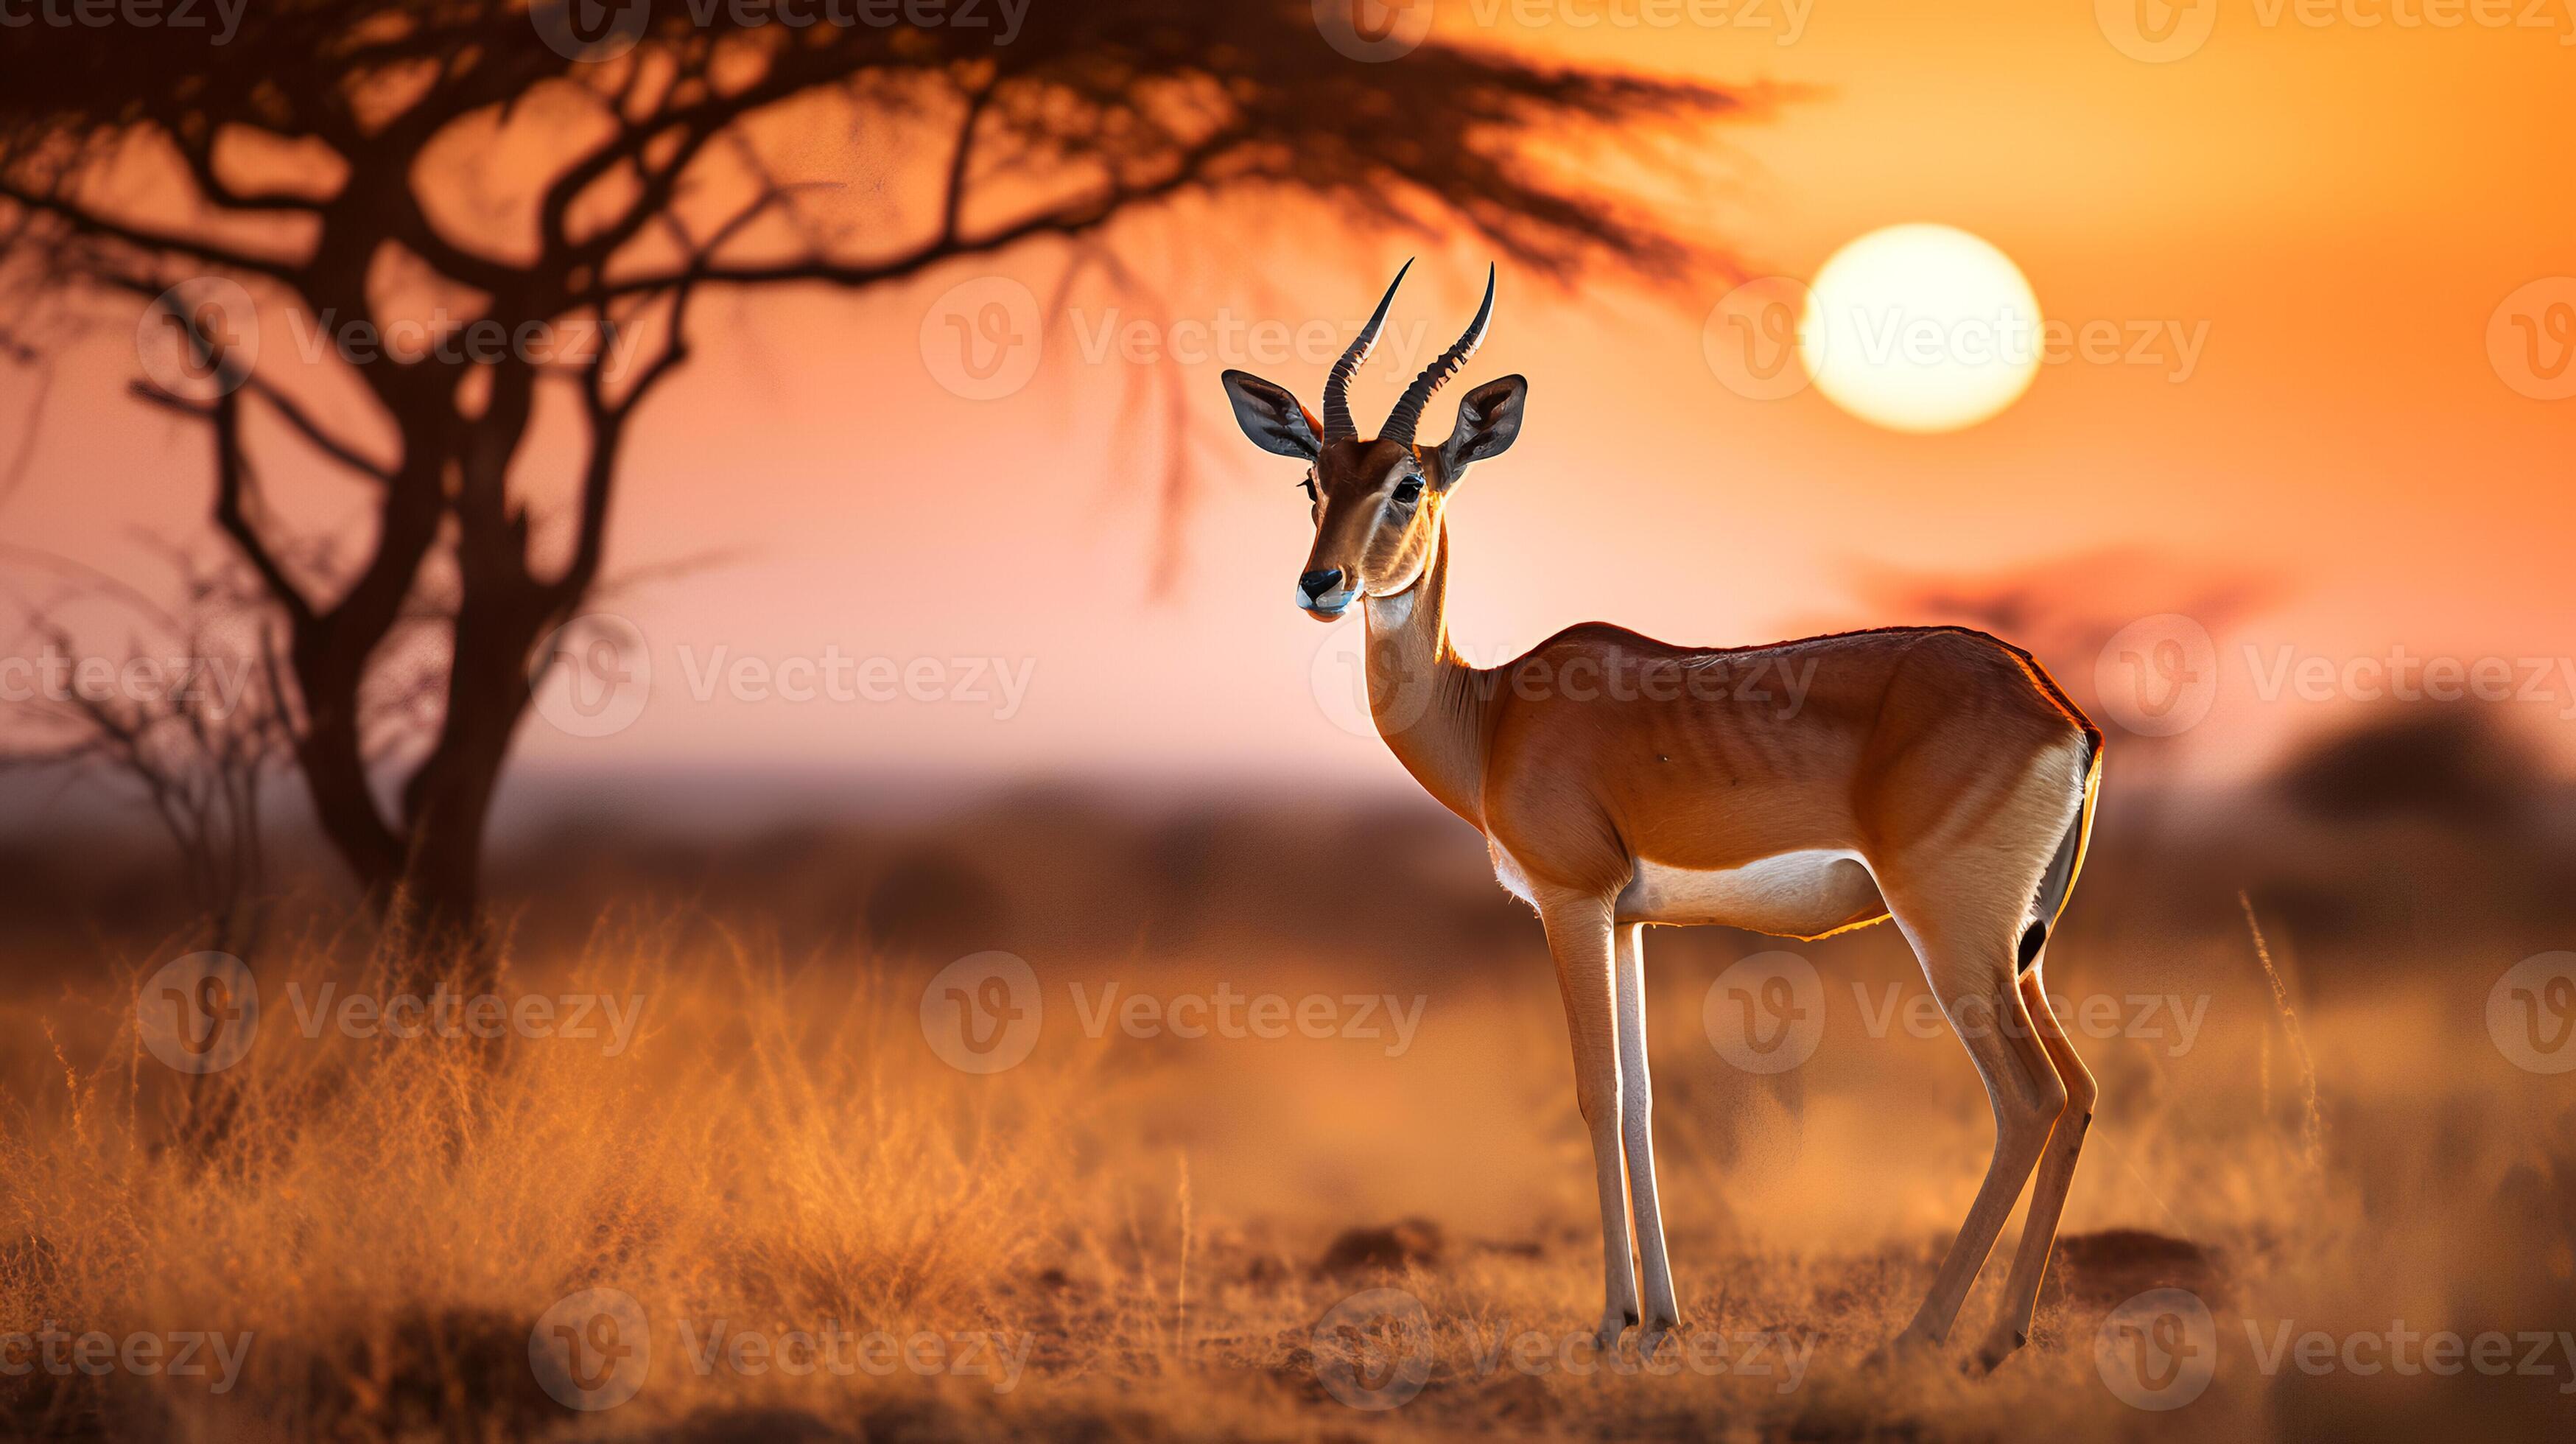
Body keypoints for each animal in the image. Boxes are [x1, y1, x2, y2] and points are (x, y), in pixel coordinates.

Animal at [1221, 262, 2105, 1372]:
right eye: (1313, 481)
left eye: (1408, 483)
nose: (1321, 583)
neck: (1492, 714)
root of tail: (2057, 706)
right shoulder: (1629, 918)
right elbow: (1641, 1100)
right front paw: (1662, 1323)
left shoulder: (1569, 903)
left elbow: (1596, 1092)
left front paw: (1608, 1324)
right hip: (2018, 950)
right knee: (2079, 1091)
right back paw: (2002, 1336)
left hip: (1952, 937)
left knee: (2028, 1100)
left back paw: (1921, 1340)